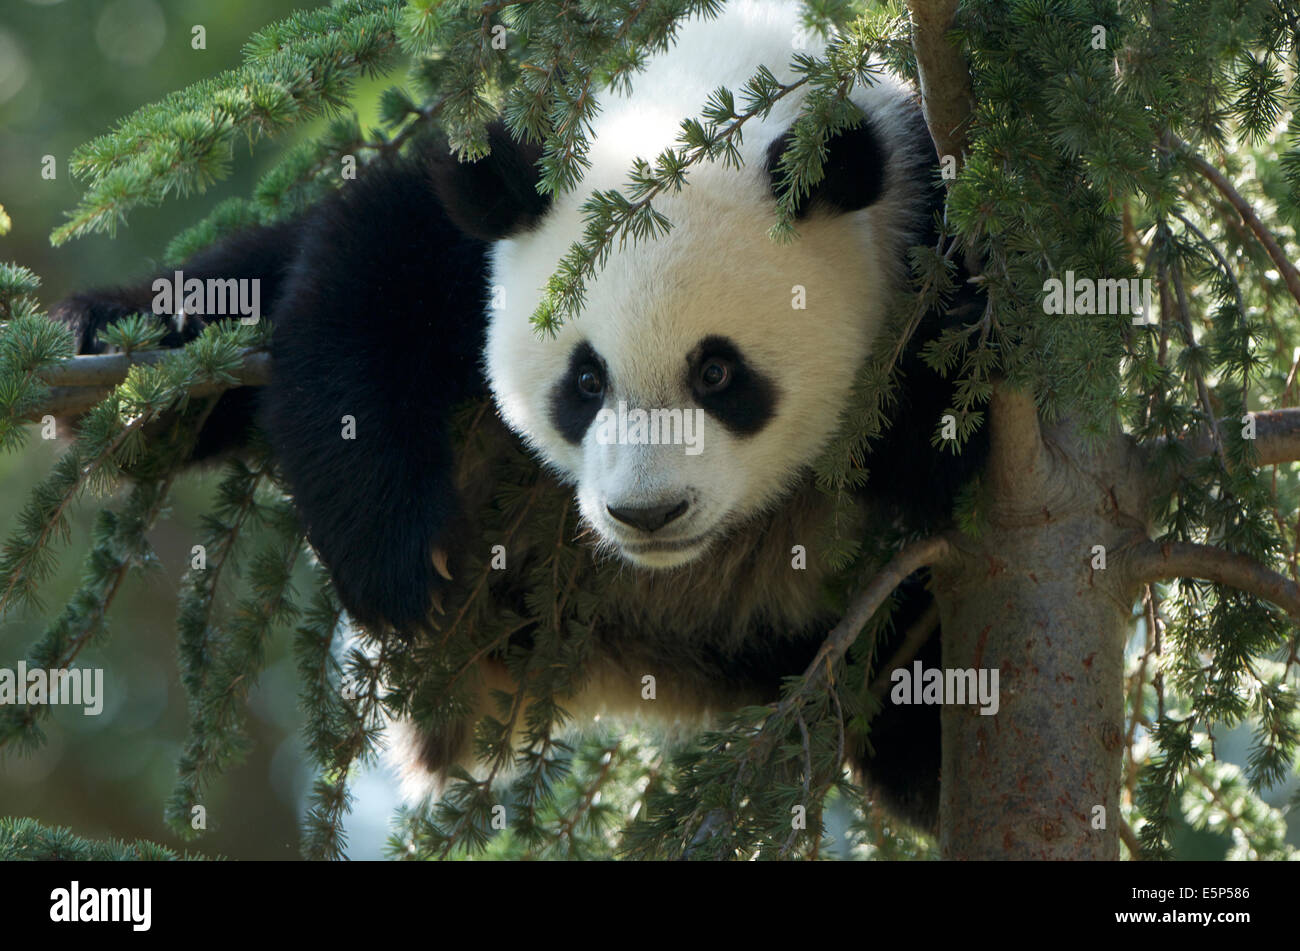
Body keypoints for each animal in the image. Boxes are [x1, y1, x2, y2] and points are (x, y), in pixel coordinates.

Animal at [52, 0, 984, 833]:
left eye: (717, 372)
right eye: (585, 382)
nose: (648, 513)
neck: (707, 90)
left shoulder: (922, 215)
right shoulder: (479, 219)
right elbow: (353, 291)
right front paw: (393, 559)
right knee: (237, 290)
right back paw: (104, 359)